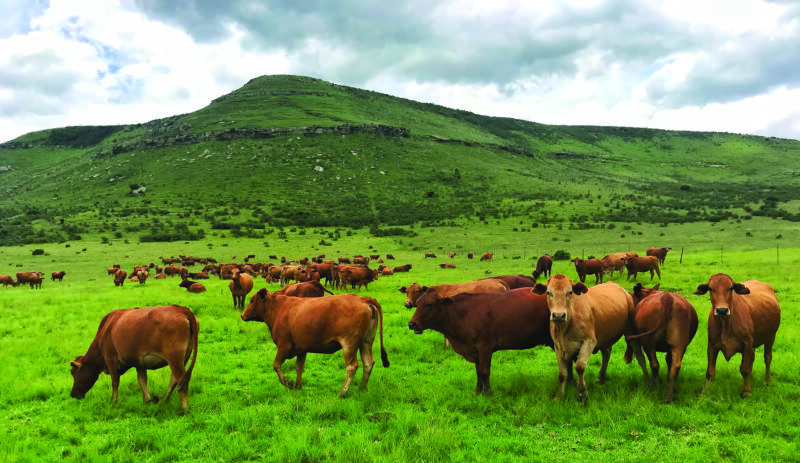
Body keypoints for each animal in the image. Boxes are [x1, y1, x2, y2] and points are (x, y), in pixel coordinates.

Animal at [69, 305, 199, 410]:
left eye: (73, 373)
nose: (72, 393)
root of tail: (181, 309)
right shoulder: (139, 362)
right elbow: (142, 380)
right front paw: (147, 400)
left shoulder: (110, 358)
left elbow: (115, 381)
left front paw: (113, 402)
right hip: (184, 357)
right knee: (174, 380)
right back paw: (163, 400)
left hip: (174, 358)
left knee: (181, 379)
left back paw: (184, 408)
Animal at [241, 289, 389, 397]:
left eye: (252, 300)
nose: (242, 315)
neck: (278, 309)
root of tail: (361, 298)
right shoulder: (301, 349)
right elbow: (299, 367)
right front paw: (297, 386)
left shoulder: (284, 346)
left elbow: (276, 365)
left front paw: (287, 382)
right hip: (366, 342)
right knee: (368, 363)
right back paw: (361, 389)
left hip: (349, 344)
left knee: (352, 367)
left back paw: (342, 392)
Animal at [408, 288, 553, 395]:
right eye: (418, 303)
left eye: (429, 304)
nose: (411, 324)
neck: (461, 315)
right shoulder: (474, 350)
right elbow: (478, 372)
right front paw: (478, 392)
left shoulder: (485, 347)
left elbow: (484, 371)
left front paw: (488, 393)